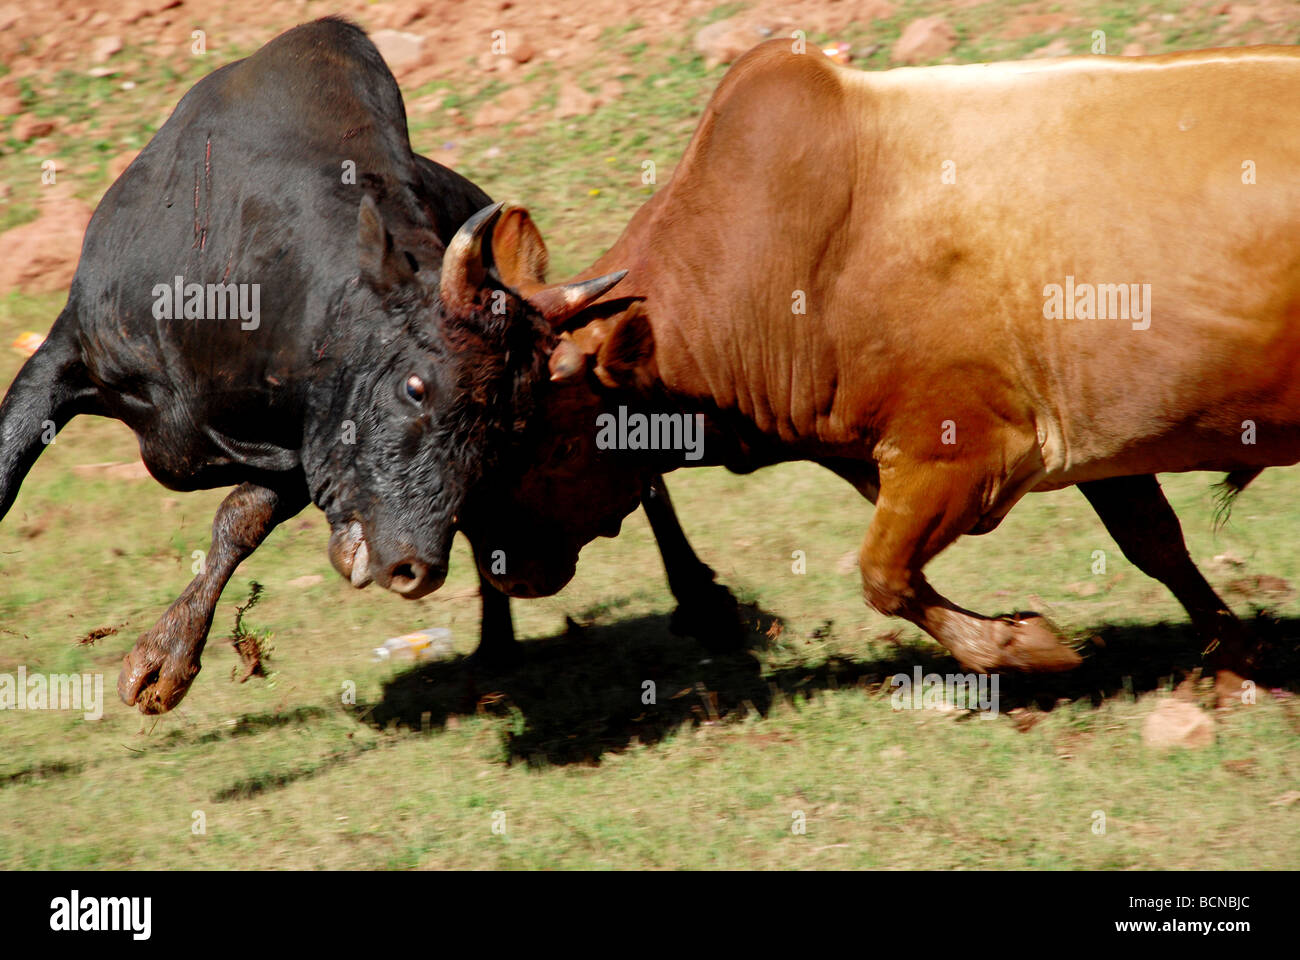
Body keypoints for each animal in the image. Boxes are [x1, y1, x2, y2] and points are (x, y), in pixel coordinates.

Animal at [0, 17, 737, 715]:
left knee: (643, 479)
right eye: (414, 386)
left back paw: (682, 605)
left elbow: (239, 519)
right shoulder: (67, 352)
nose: (414, 567)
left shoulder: (302, 457)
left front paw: (166, 660)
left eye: (510, 426)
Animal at [448, 40, 1300, 704]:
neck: (796, 264)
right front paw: (1242, 661)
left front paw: (1030, 646)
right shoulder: (1096, 445)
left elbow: (882, 573)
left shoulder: (965, 450)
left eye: (557, 440)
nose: (503, 568)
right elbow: (1156, 542)